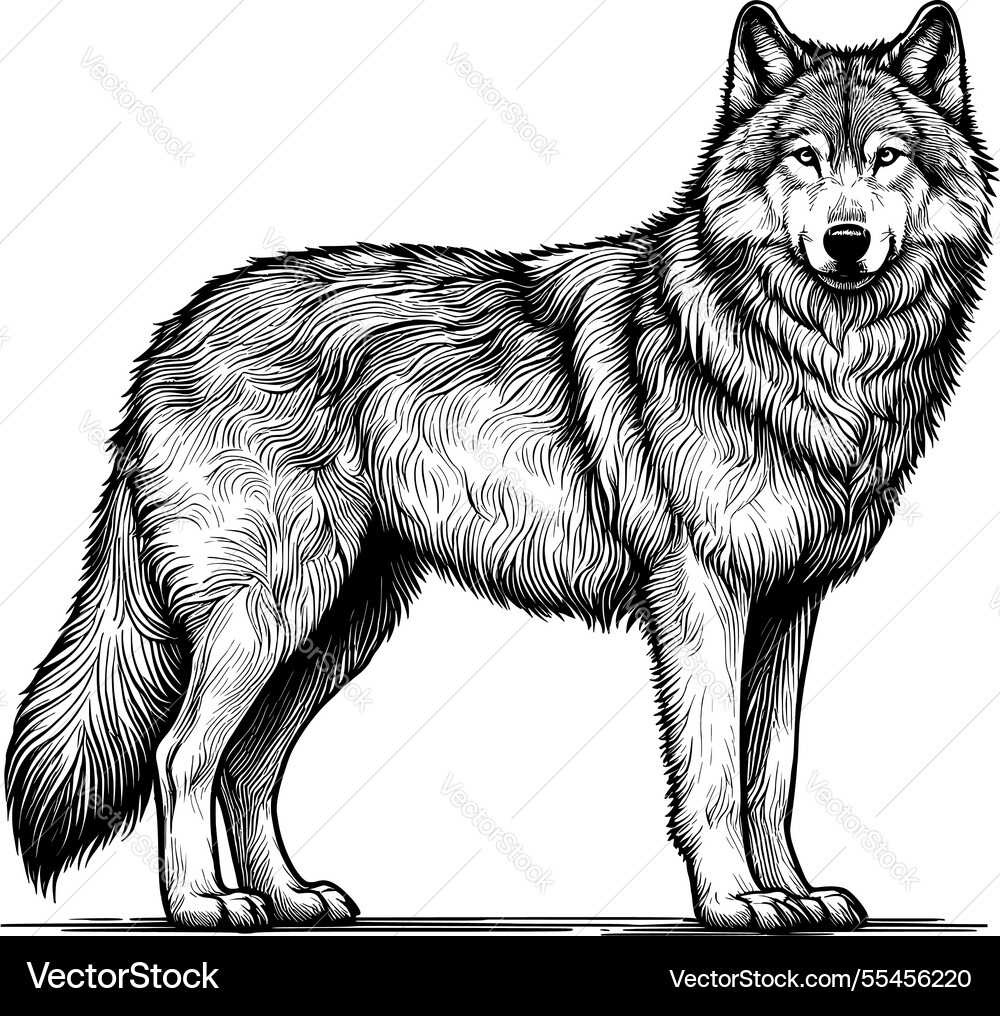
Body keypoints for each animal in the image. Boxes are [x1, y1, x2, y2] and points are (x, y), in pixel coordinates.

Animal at [7, 2, 992, 931]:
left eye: (887, 159)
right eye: (805, 159)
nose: (847, 241)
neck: (807, 352)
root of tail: (170, 332)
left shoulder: (789, 607)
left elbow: (771, 776)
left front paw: (793, 893)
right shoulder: (702, 597)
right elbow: (713, 776)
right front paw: (734, 903)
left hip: (338, 623)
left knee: (247, 764)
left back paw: (289, 896)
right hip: (273, 609)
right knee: (183, 756)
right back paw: (202, 904)